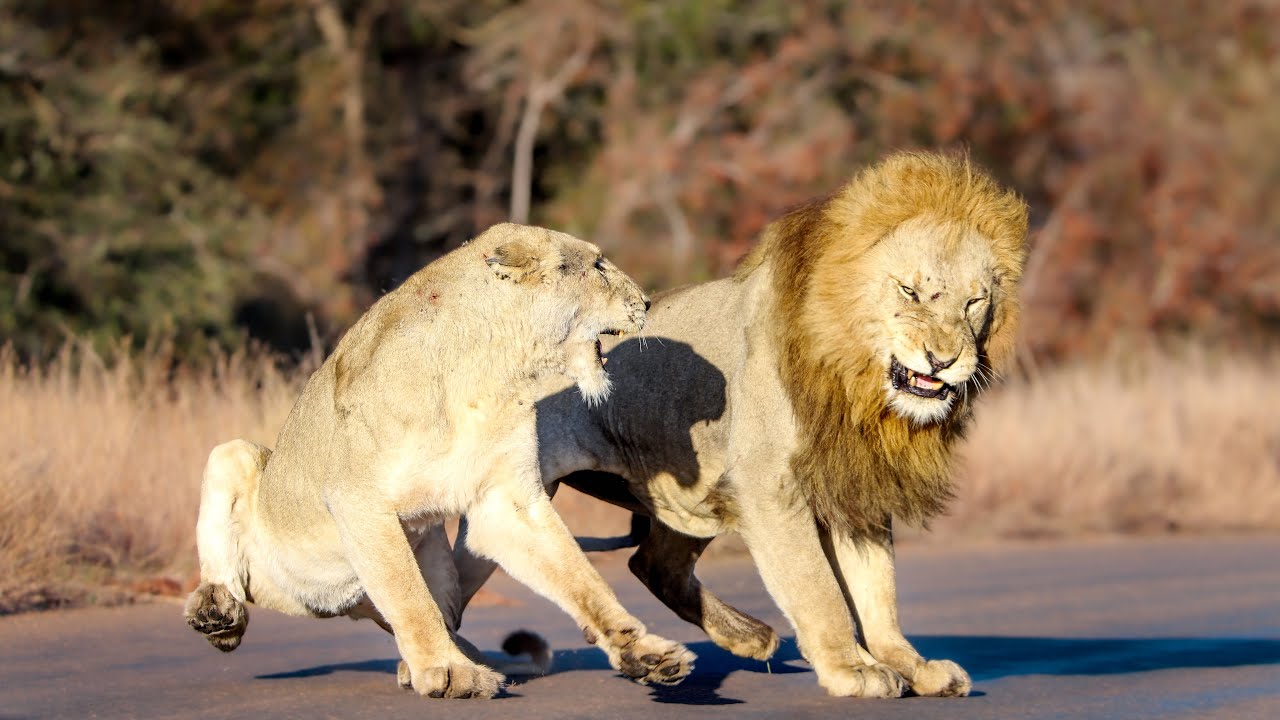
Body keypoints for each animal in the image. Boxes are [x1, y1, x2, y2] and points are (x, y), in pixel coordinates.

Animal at [183, 223, 696, 699]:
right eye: (598, 266)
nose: (647, 302)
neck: (492, 370)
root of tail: (341, 607)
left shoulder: (505, 500)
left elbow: (581, 579)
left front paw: (643, 652)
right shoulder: (359, 499)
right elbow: (408, 595)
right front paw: (449, 672)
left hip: (439, 569)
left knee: (438, 610)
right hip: (239, 464)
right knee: (229, 557)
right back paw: (217, 613)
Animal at [452, 152, 1028, 697]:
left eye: (975, 301)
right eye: (909, 291)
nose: (944, 359)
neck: (860, 389)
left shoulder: (853, 486)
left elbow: (877, 591)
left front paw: (911, 666)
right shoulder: (769, 484)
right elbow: (819, 587)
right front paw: (852, 669)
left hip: (689, 496)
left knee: (653, 564)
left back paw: (748, 637)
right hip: (514, 495)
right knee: (452, 585)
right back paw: (454, 664)